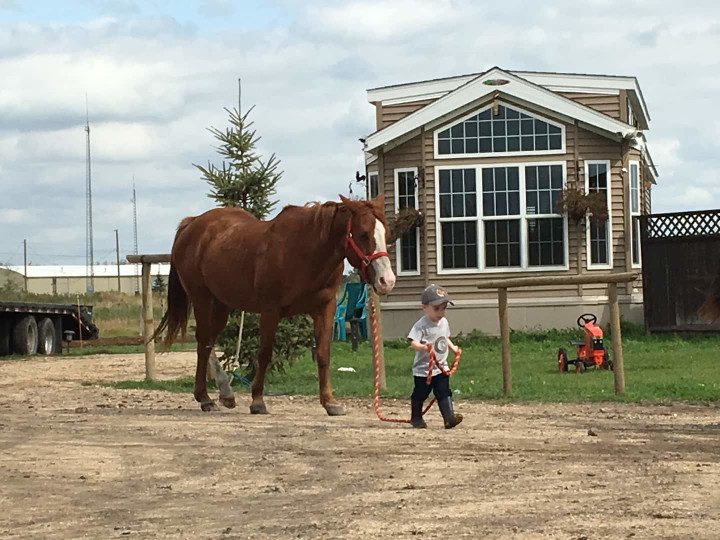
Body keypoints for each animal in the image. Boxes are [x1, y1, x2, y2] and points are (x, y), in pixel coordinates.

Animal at [154, 195, 396, 416]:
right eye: (363, 234)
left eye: (386, 234)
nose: (387, 281)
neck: (305, 253)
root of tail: (193, 223)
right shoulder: (270, 310)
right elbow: (264, 353)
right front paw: (257, 401)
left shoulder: (324, 309)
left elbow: (323, 354)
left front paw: (329, 402)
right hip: (202, 298)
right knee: (203, 343)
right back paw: (205, 398)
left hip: (222, 303)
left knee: (209, 341)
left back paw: (226, 394)